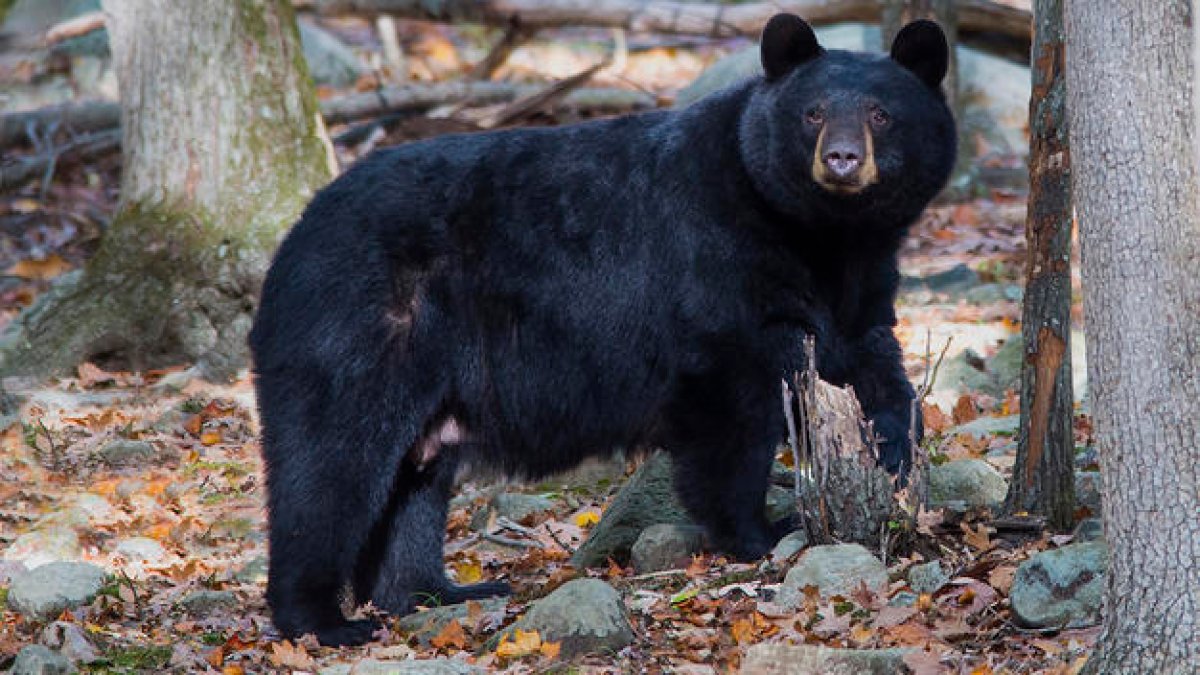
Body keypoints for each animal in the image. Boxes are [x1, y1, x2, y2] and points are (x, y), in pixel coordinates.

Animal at [248, 13, 955, 646]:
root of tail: (295, 235)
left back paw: (438, 591)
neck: (821, 236)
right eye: (812, 113)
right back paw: (323, 619)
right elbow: (732, 415)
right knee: (332, 462)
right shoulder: (716, 265)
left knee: (414, 481)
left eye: (881, 113)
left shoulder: (861, 287)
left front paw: (896, 466)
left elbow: (875, 372)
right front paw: (761, 529)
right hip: (363, 323)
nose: (841, 159)